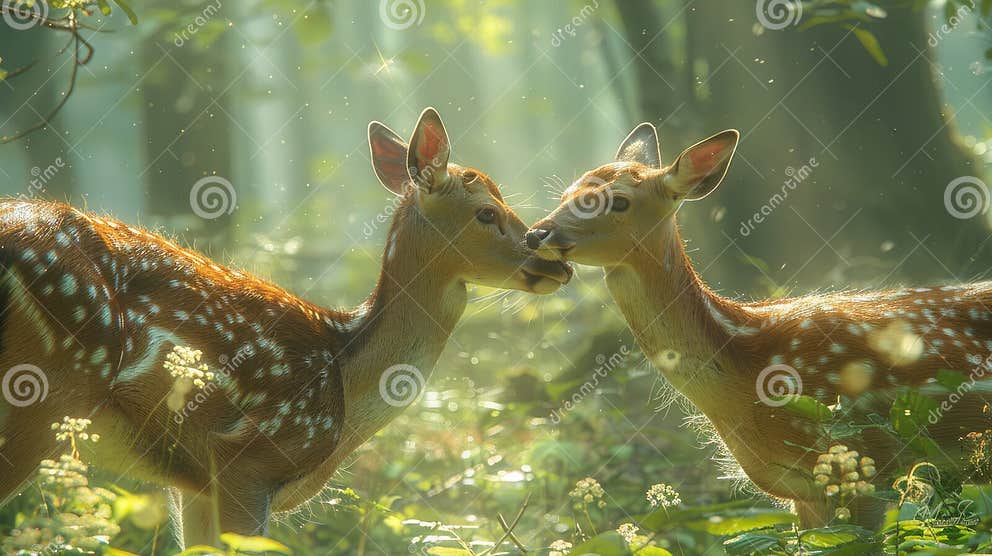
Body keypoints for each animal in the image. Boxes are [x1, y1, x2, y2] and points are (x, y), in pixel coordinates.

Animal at [0, 107, 572, 546]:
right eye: (486, 213)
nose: (555, 262)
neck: (344, 375)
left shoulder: (194, 483)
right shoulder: (246, 459)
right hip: (39, 389)